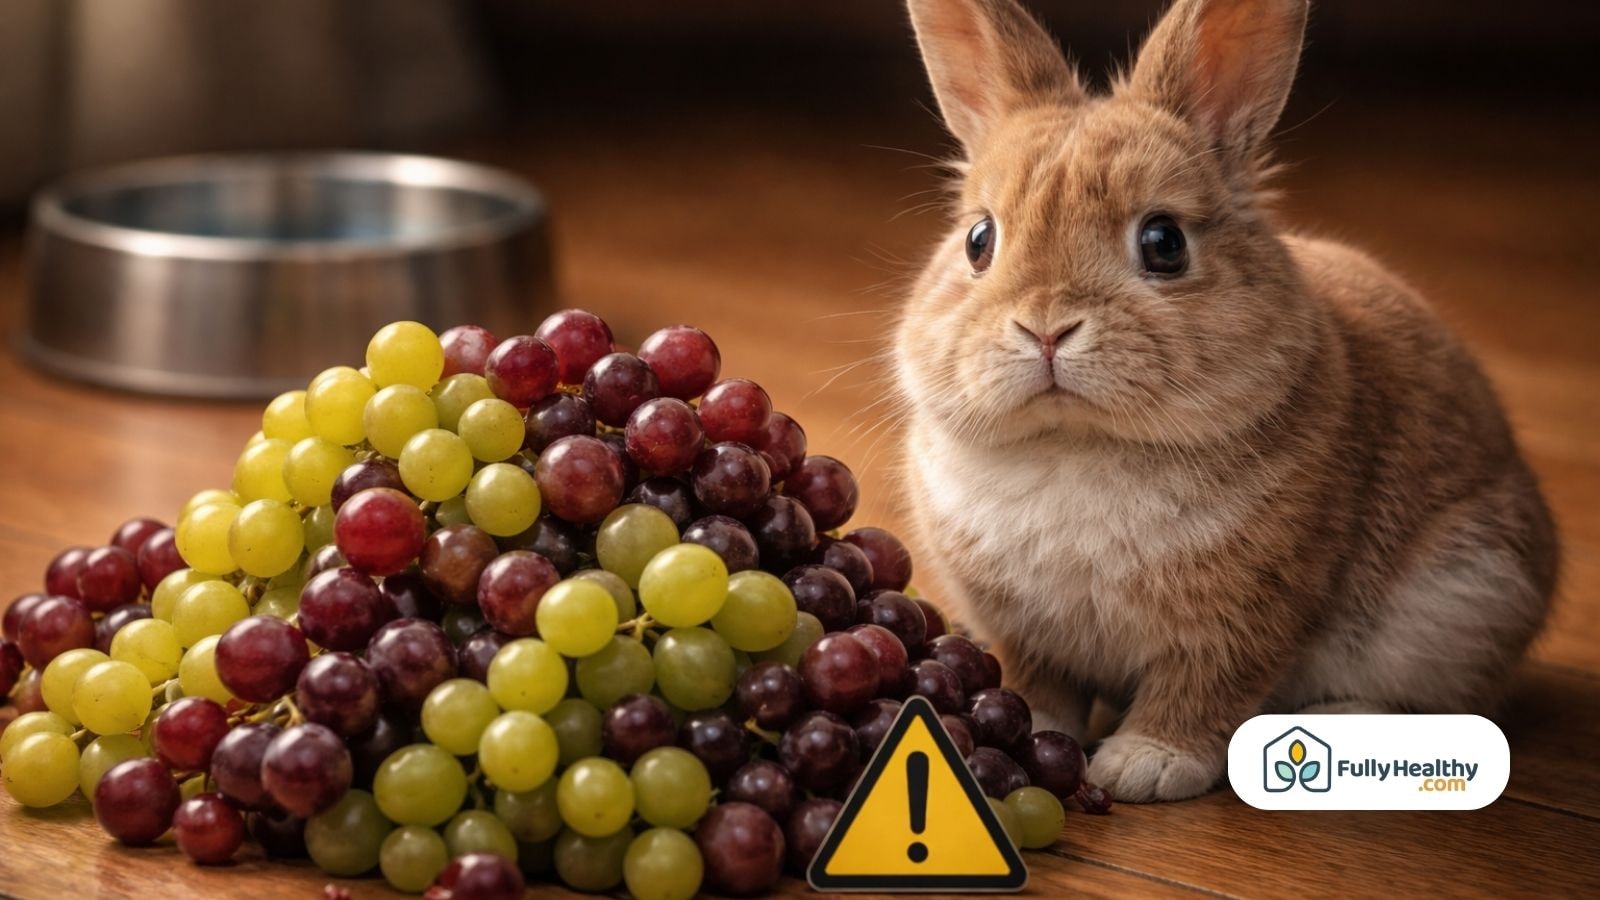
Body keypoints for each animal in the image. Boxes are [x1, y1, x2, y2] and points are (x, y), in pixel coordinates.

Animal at [893, 0, 1558, 802]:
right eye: (978, 240)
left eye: (1164, 242)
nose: (1045, 328)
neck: (1079, 441)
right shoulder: (1025, 633)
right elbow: (1040, 687)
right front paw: (1034, 736)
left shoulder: (1243, 620)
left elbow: (1203, 691)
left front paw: (1145, 767)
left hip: (1466, 604)